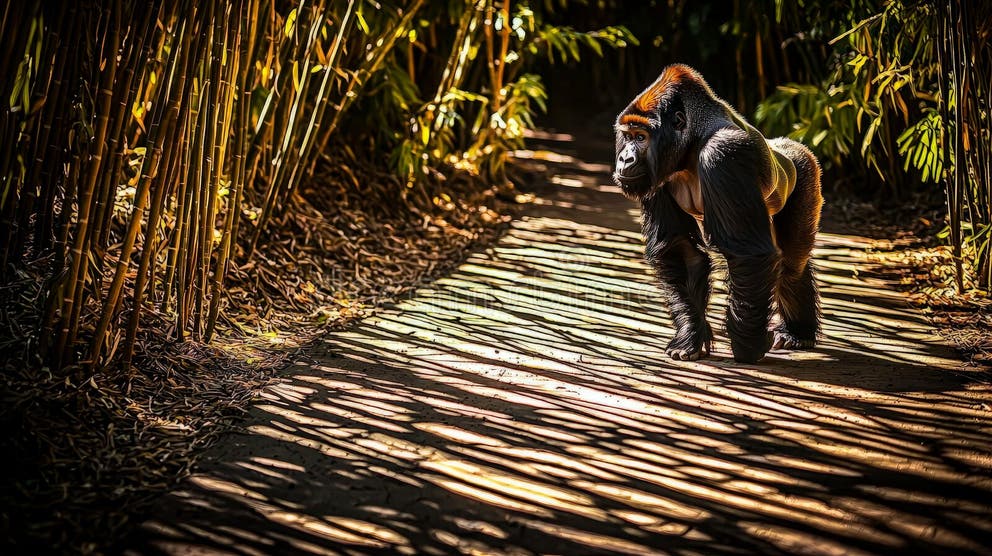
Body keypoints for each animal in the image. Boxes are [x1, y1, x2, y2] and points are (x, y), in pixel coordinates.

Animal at [613, 64, 823, 364]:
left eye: (641, 138)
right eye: (628, 136)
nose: (625, 159)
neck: (692, 143)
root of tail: (789, 145)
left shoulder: (723, 155)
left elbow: (747, 254)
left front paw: (749, 345)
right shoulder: (657, 172)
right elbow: (680, 249)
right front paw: (690, 336)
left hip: (806, 170)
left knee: (793, 263)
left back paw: (798, 332)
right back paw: (799, 330)